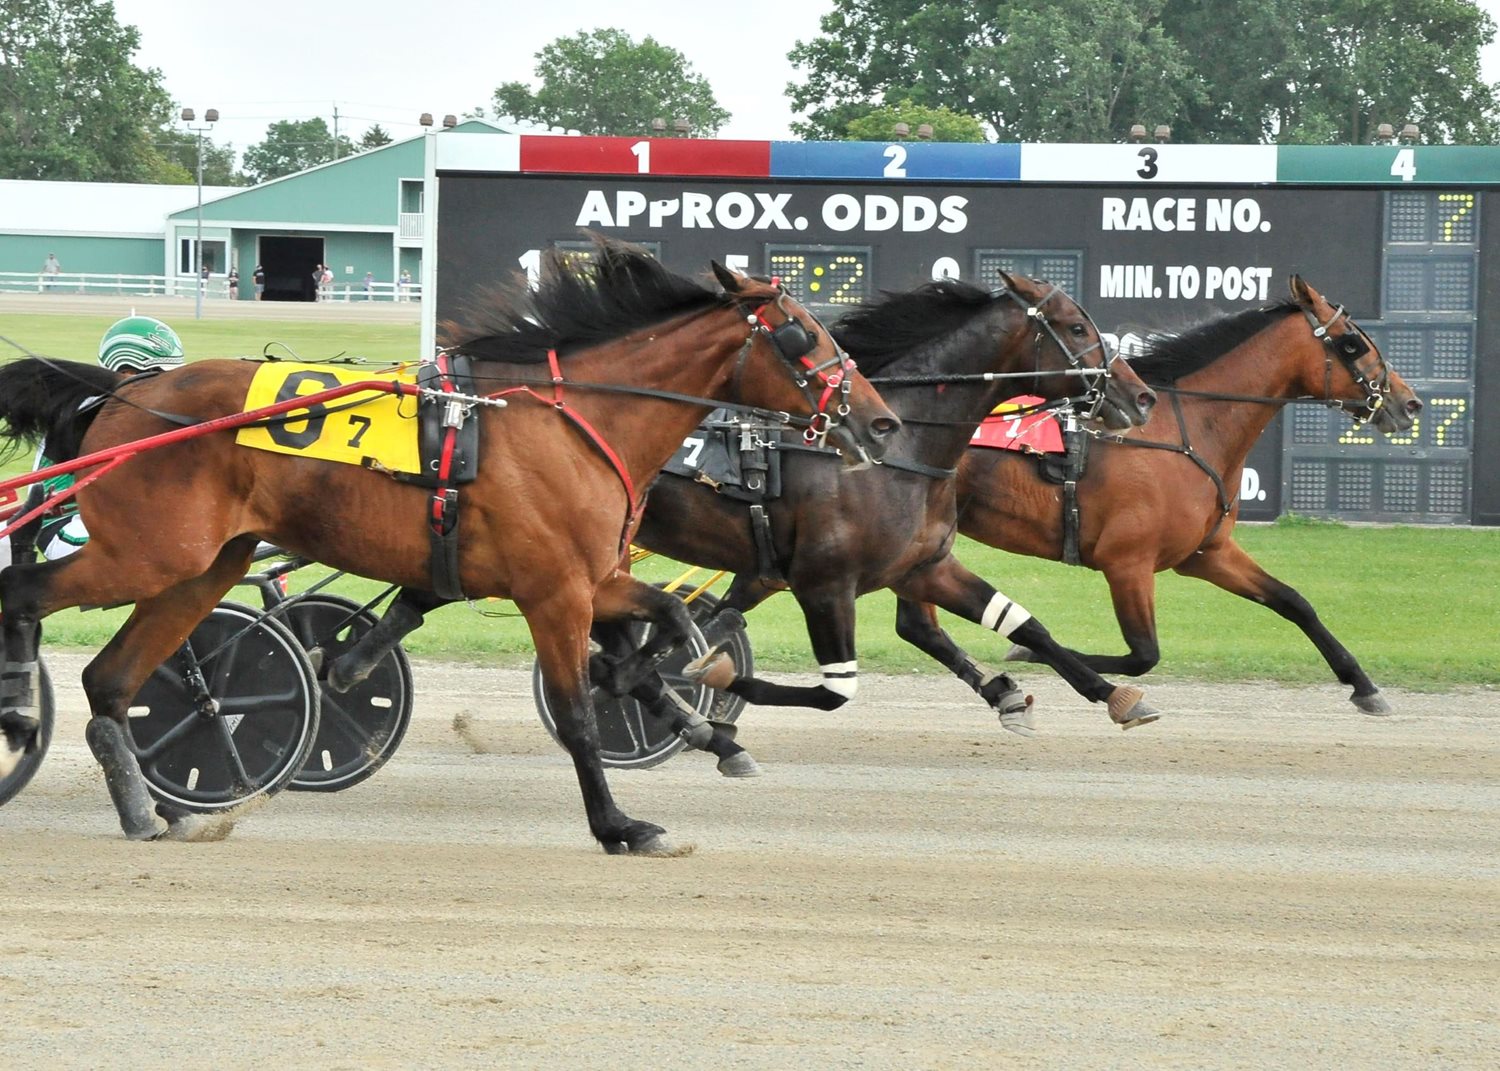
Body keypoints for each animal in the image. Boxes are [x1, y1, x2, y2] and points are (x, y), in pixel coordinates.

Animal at [0, 237, 900, 852]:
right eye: (801, 334)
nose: (882, 420)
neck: (571, 420)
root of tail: (120, 396)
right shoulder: (553, 591)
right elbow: (579, 713)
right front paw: (619, 822)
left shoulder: (594, 578)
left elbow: (667, 628)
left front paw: (701, 702)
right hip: (148, 552)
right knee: (25, 596)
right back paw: (20, 709)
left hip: (199, 566)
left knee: (110, 679)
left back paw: (149, 809)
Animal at [903, 275, 1421, 714]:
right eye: (1352, 342)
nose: (1408, 402)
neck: (1185, 429)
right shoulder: (1126, 561)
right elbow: (1144, 654)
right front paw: (1035, 654)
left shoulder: (1206, 553)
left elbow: (1295, 602)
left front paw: (1364, 685)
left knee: (917, 627)